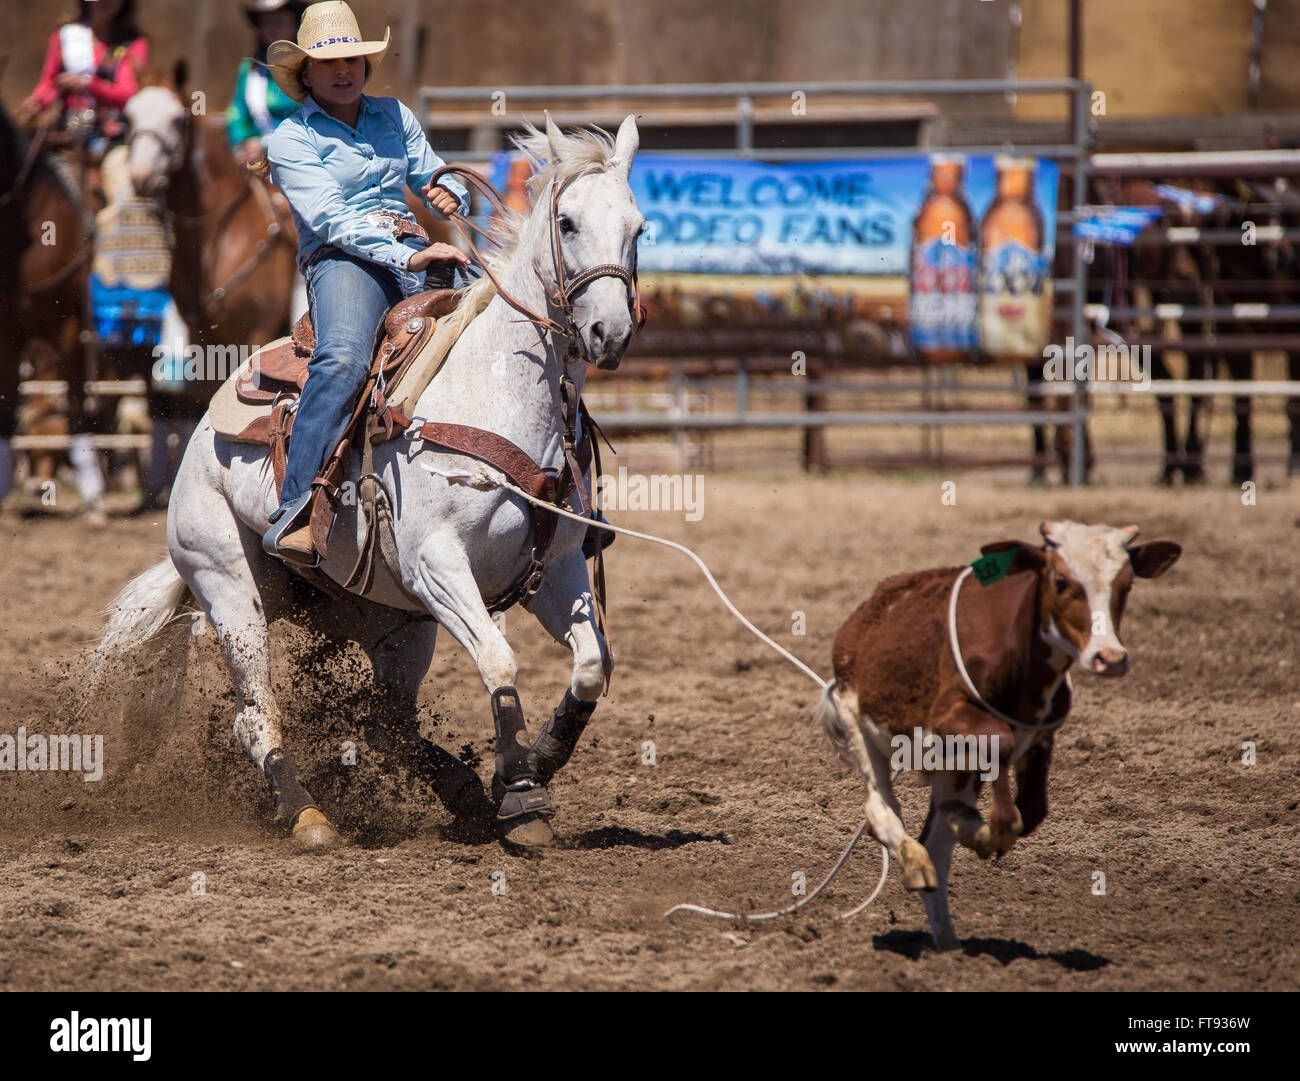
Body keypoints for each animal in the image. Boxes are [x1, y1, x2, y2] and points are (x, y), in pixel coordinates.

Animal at [91, 115, 644, 852]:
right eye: (568, 221)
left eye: (637, 227)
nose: (609, 332)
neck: (500, 395)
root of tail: (207, 422)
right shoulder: (439, 565)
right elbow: (499, 662)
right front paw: (524, 793)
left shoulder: (556, 571)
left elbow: (591, 665)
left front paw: (544, 757)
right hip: (229, 585)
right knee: (256, 715)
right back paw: (308, 814)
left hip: (394, 623)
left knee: (385, 721)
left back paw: (466, 794)